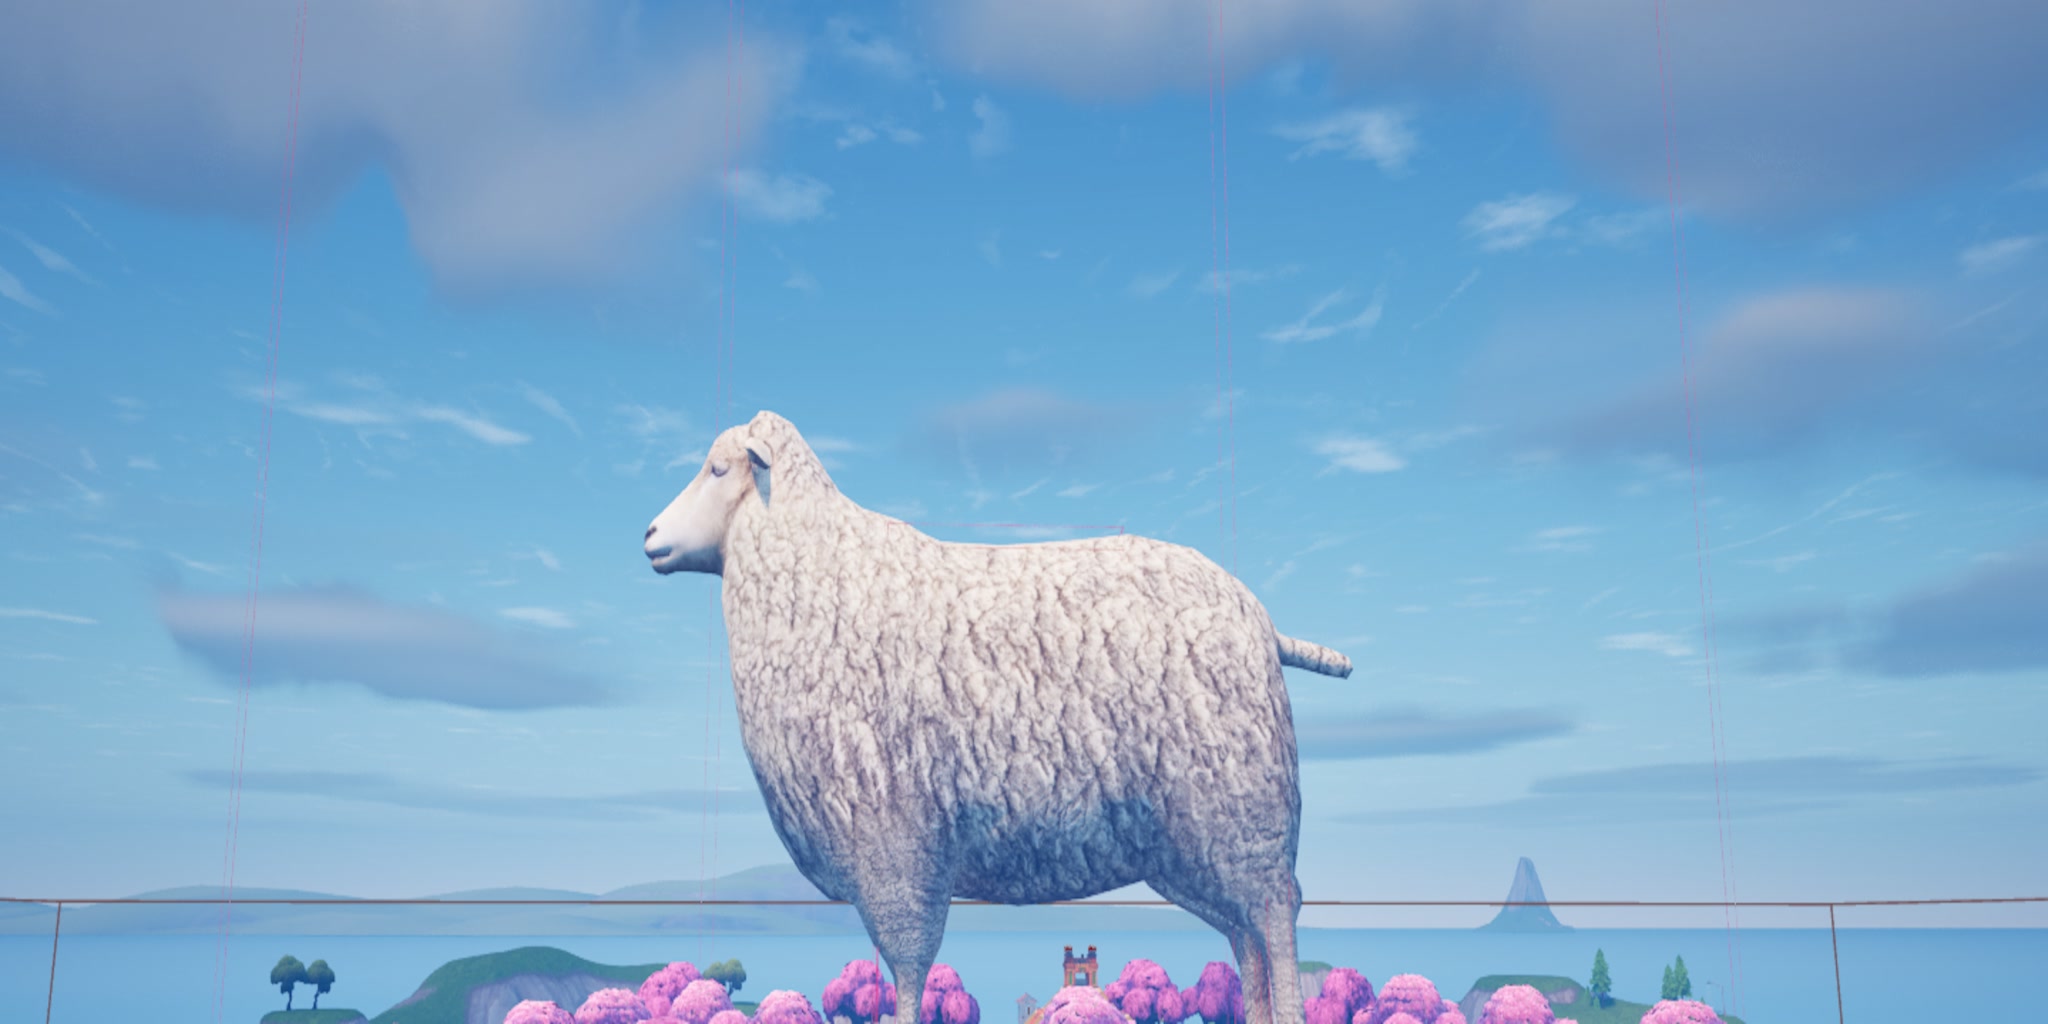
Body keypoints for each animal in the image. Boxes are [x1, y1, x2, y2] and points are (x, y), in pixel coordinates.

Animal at [642, 410, 1354, 1024]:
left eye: (717, 469)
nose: (648, 536)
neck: (823, 574)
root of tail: (1260, 618)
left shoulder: (899, 846)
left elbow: (908, 967)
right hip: (1197, 844)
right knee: (1246, 937)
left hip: (1245, 814)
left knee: (1276, 919)